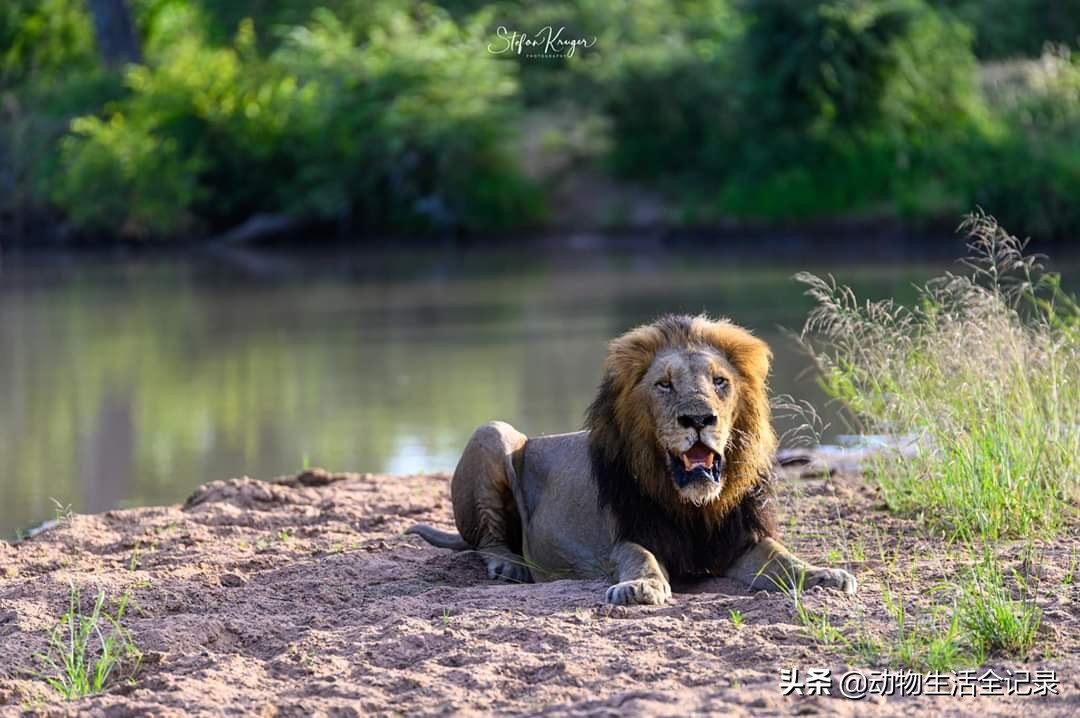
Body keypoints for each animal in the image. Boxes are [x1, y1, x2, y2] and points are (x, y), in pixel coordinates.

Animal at [407, 314, 856, 605]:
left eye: (720, 382)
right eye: (664, 385)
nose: (698, 419)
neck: (690, 505)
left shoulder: (739, 540)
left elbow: (782, 556)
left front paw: (823, 574)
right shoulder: (626, 536)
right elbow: (640, 557)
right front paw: (640, 587)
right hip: (492, 432)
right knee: (487, 540)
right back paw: (509, 567)